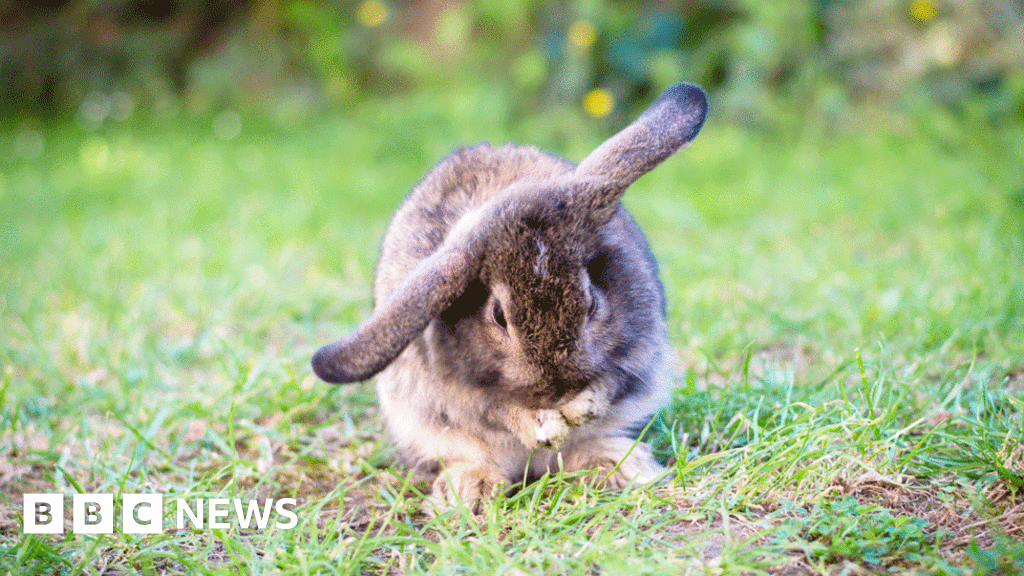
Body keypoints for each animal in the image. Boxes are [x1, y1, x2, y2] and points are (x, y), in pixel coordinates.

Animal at [312, 82, 708, 510]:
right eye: (499, 316)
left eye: (591, 303)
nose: (558, 390)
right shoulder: (462, 396)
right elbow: (498, 410)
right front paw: (543, 425)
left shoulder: (636, 354)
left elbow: (612, 382)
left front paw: (581, 407)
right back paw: (472, 493)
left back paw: (619, 467)